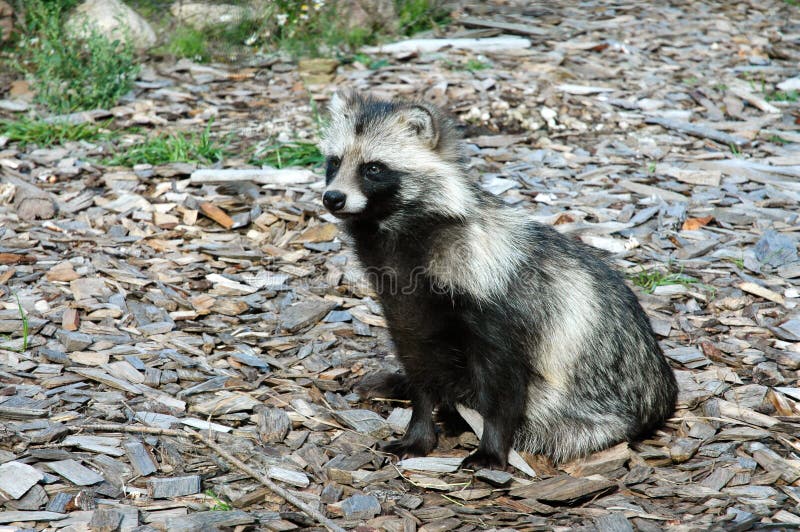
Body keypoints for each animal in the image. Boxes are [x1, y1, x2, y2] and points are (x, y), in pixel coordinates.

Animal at [320, 91, 678, 469]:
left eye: (373, 168)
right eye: (334, 162)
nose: (333, 197)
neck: (396, 234)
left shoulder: (495, 297)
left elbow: (502, 383)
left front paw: (491, 445)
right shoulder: (404, 307)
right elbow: (419, 365)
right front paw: (419, 429)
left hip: (588, 413)